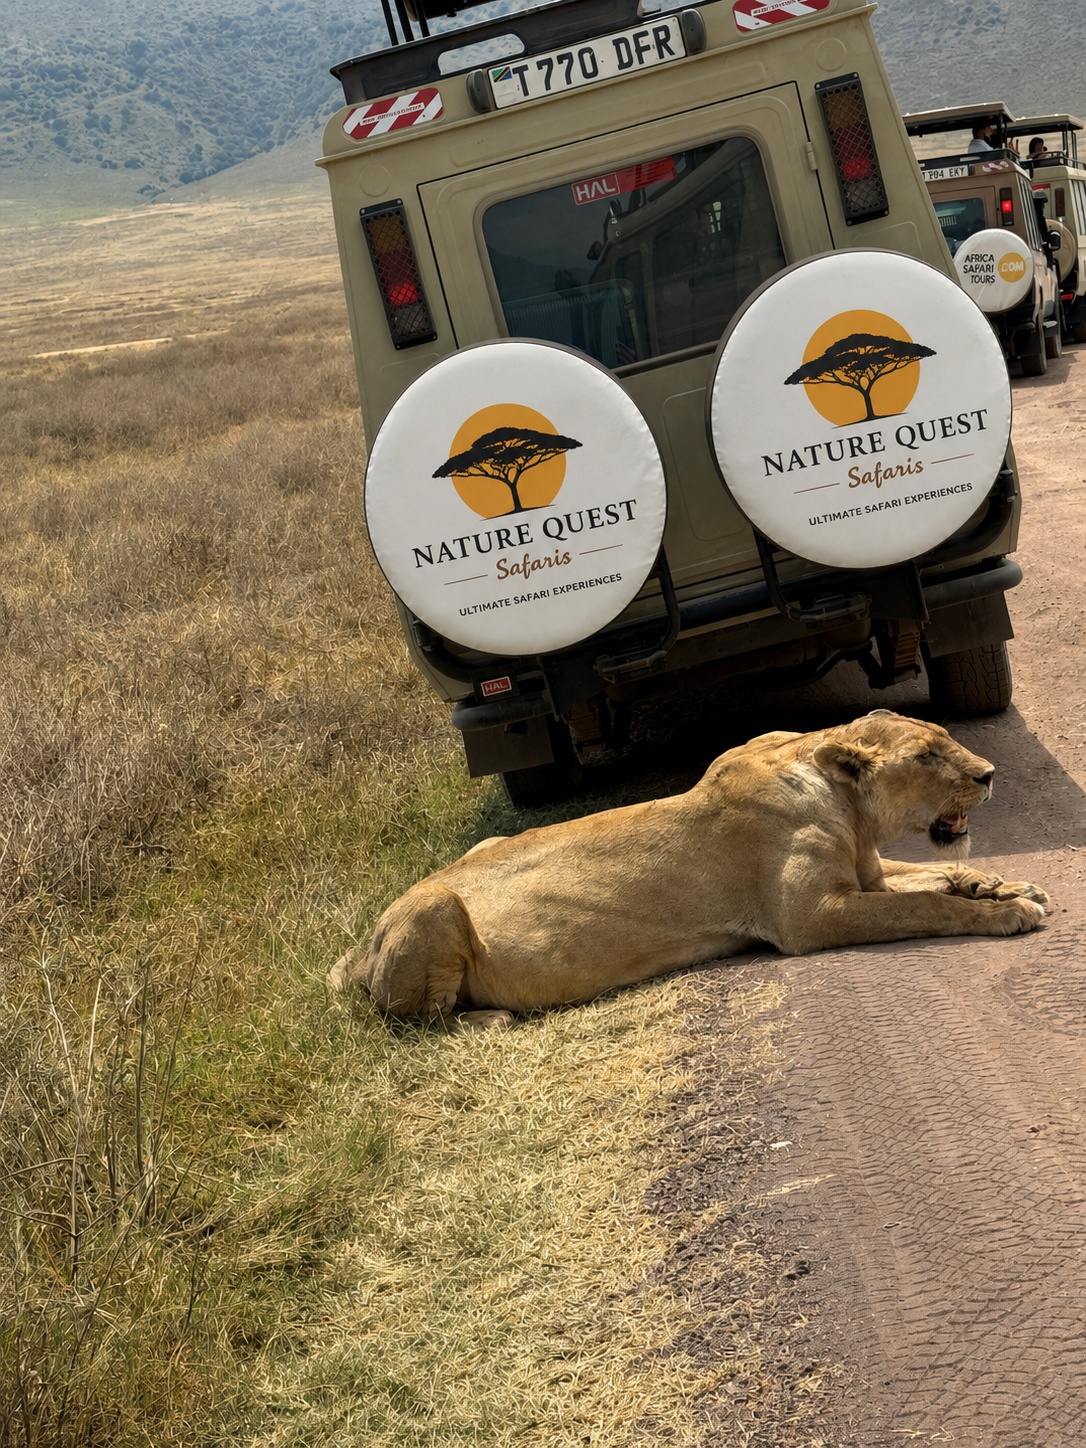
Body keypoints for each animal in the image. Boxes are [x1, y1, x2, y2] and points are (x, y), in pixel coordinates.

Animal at [328, 711, 1048, 1022]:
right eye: (927, 755)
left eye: (944, 737)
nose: (989, 774)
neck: (844, 803)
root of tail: (360, 952)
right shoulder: (810, 917)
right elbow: (924, 902)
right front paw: (1009, 912)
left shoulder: (864, 876)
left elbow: (930, 877)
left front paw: (1005, 883)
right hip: (432, 907)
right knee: (417, 1021)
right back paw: (492, 1018)